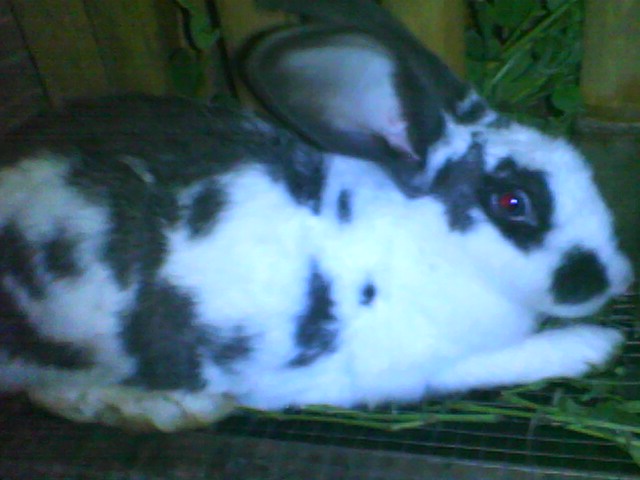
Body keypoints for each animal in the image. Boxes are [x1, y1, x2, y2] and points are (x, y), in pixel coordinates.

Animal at [0, 0, 634, 432]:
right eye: (513, 203)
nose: (617, 278)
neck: (430, 244)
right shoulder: (411, 367)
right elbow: (507, 360)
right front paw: (596, 345)